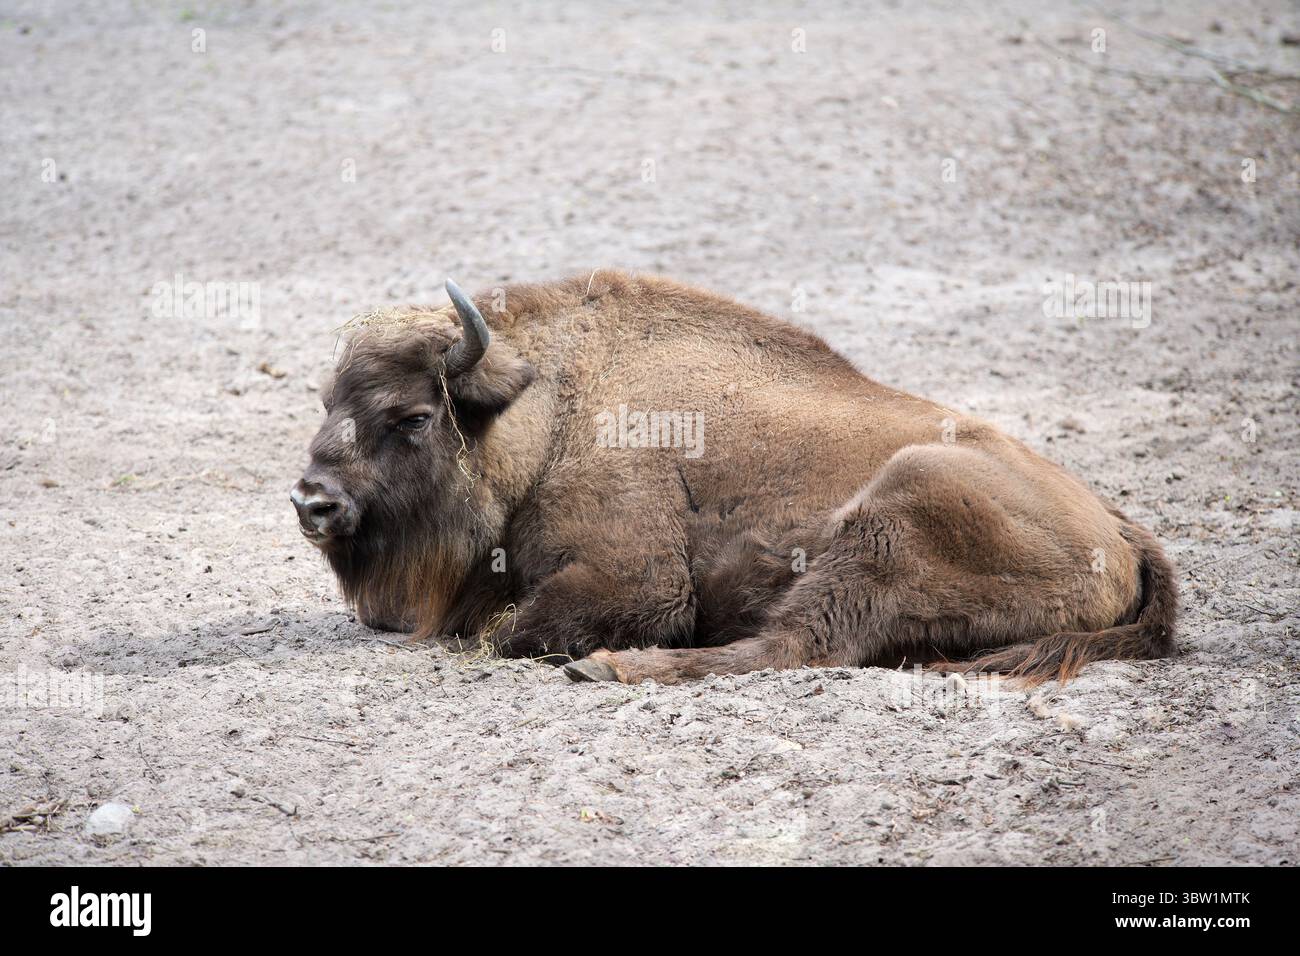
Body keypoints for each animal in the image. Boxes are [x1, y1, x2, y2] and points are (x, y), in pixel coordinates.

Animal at [292, 272, 1176, 685]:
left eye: (413, 416)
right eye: (329, 401)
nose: (312, 501)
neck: (550, 409)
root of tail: (1123, 535)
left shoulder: (637, 585)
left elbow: (509, 630)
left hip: (895, 511)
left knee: (792, 646)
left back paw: (611, 669)